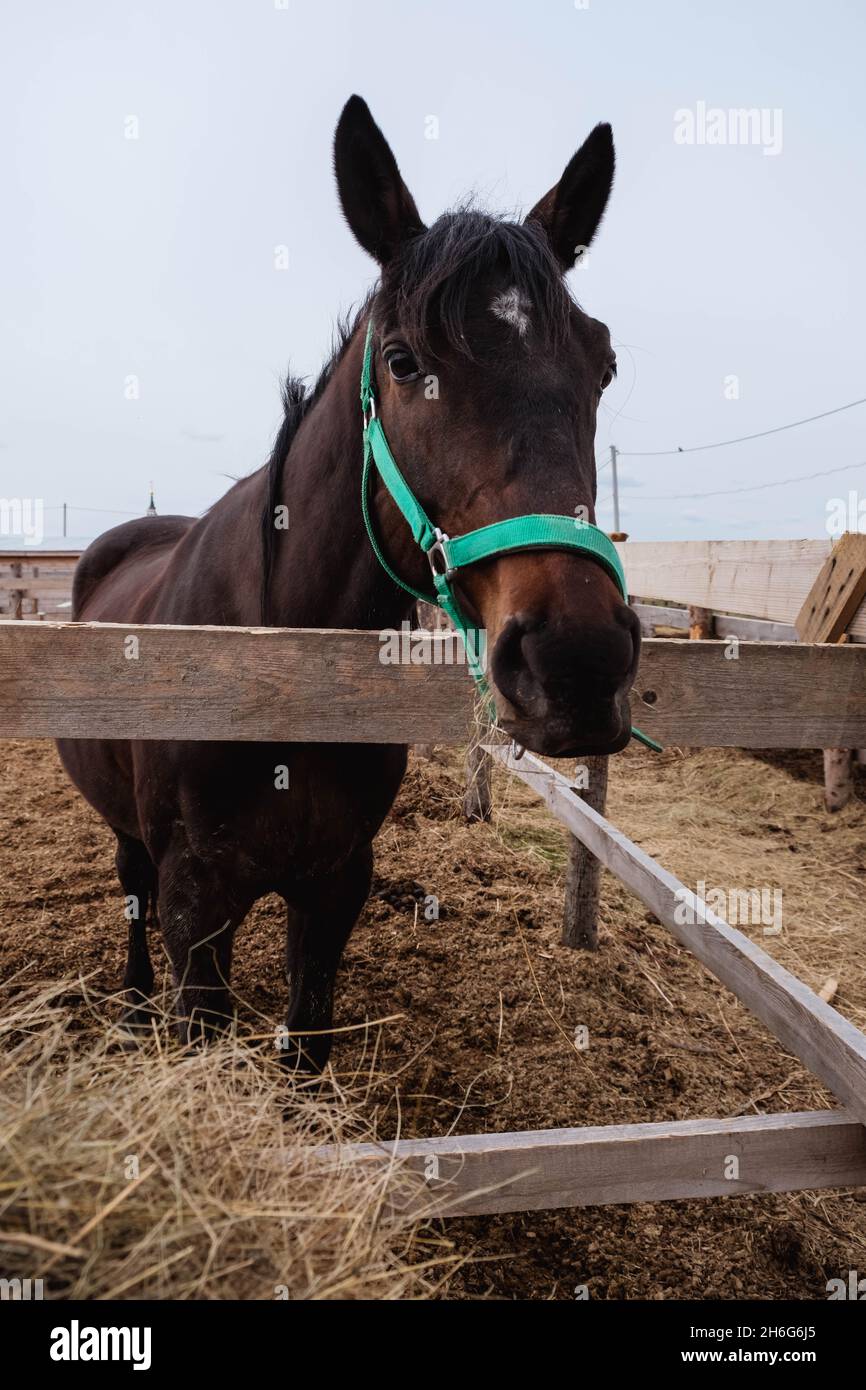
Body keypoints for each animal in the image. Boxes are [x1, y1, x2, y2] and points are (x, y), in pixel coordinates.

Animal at [57, 95, 640, 1070]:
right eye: (404, 361)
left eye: (604, 365)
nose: (579, 662)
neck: (283, 671)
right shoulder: (193, 907)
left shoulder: (335, 887)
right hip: (132, 843)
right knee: (128, 892)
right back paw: (132, 1006)